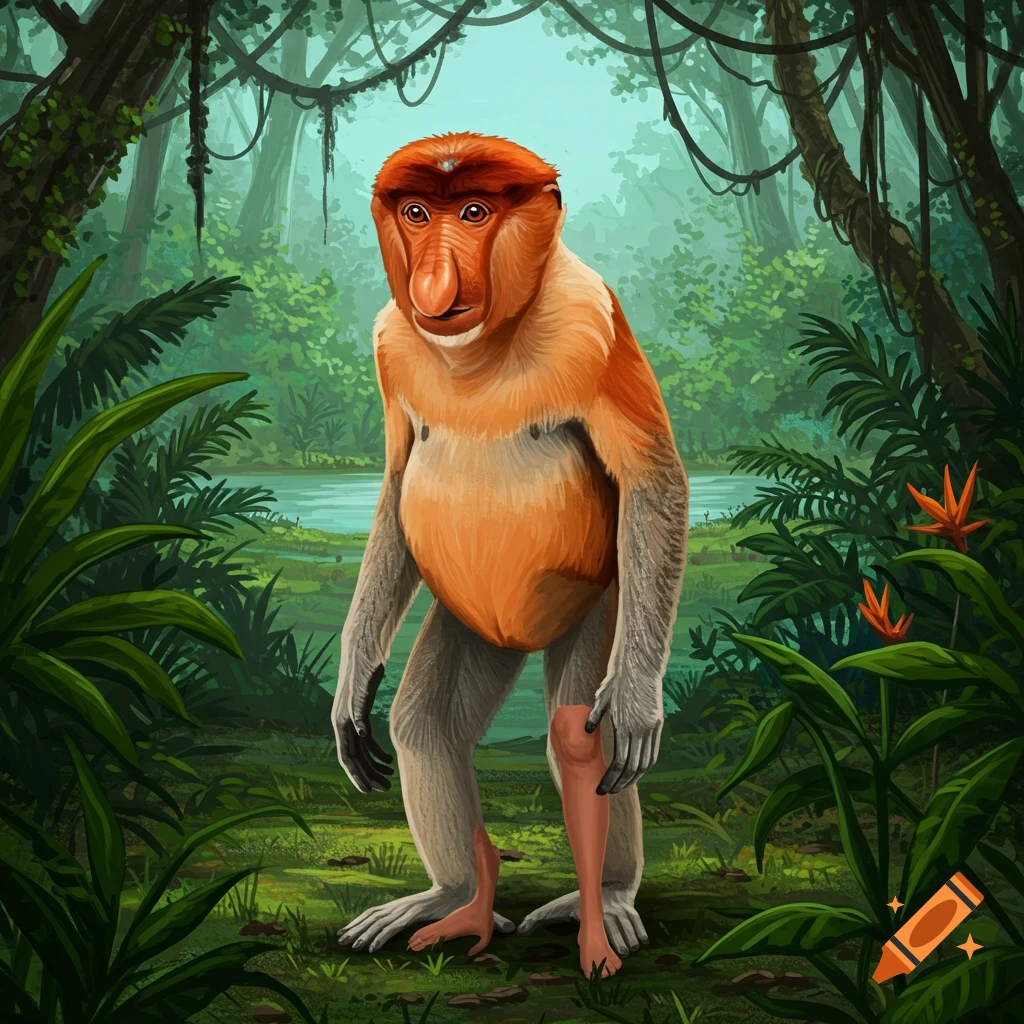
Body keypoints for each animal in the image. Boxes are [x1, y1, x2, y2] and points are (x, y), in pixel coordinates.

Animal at [332, 133, 688, 972]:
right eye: (416, 212)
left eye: (474, 212)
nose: (432, 283)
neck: (478, 351)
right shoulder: (390, 339)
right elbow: (396, 482)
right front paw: (350, 691)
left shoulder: (592, 319)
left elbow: (651, 481)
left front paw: (637, 706)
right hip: (469, 624)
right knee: (426, 727)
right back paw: (453, 901)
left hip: (604, 602)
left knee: (578, 736)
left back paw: (608, 899)